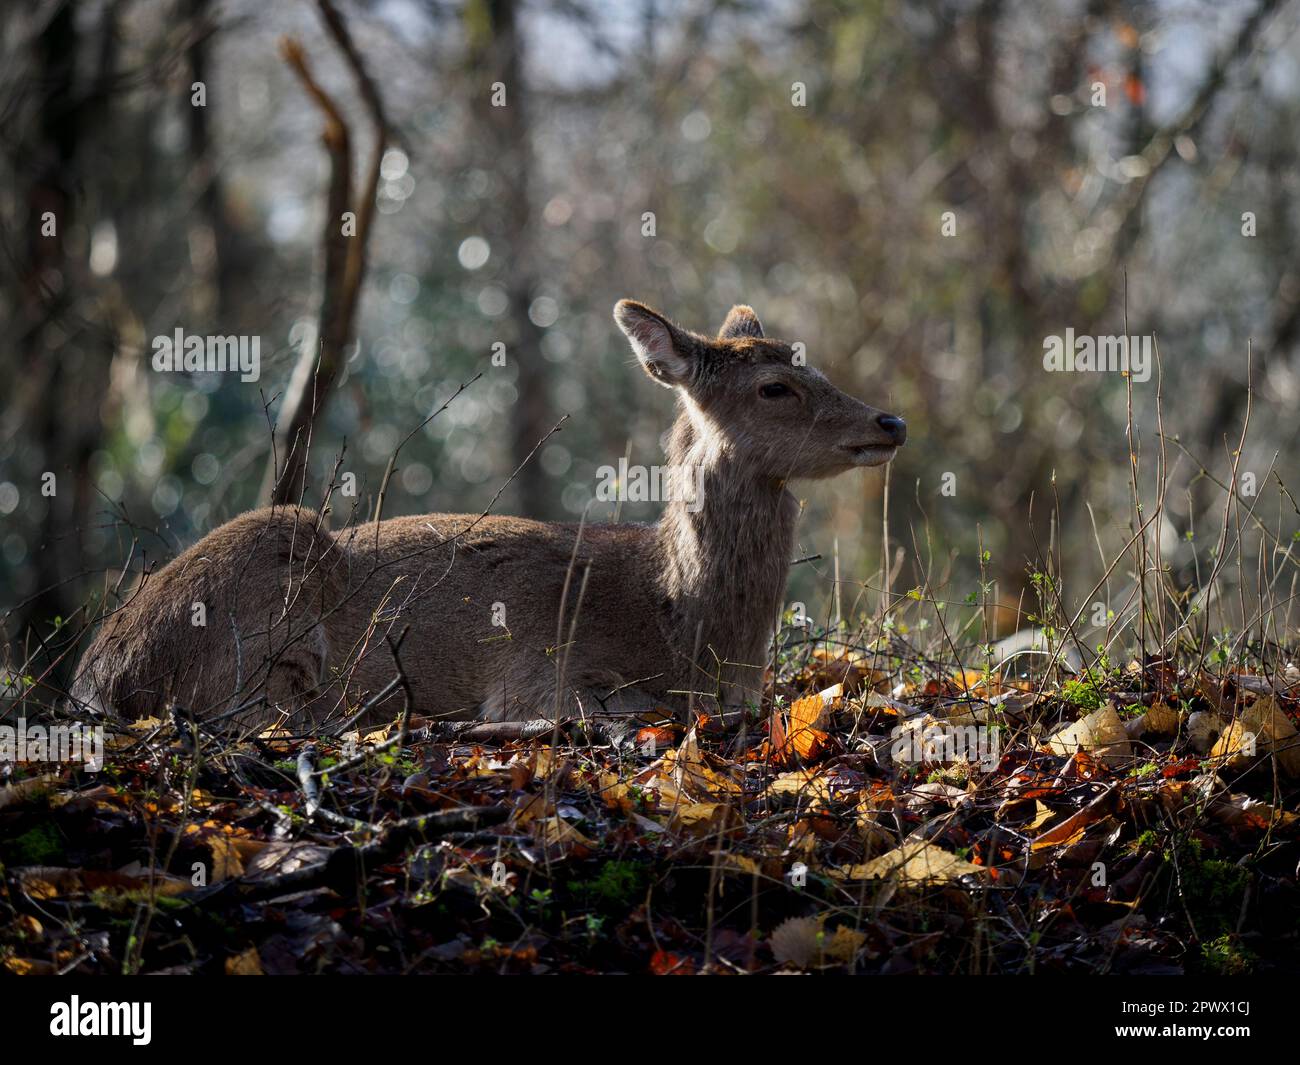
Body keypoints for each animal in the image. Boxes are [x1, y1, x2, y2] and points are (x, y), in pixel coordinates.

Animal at [71, 300, 906, 735]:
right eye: (774, 386)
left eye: (808, 362)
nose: (890, 420)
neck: (684, 627)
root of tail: (97, 679)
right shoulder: (544, 669)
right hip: (263, 611)